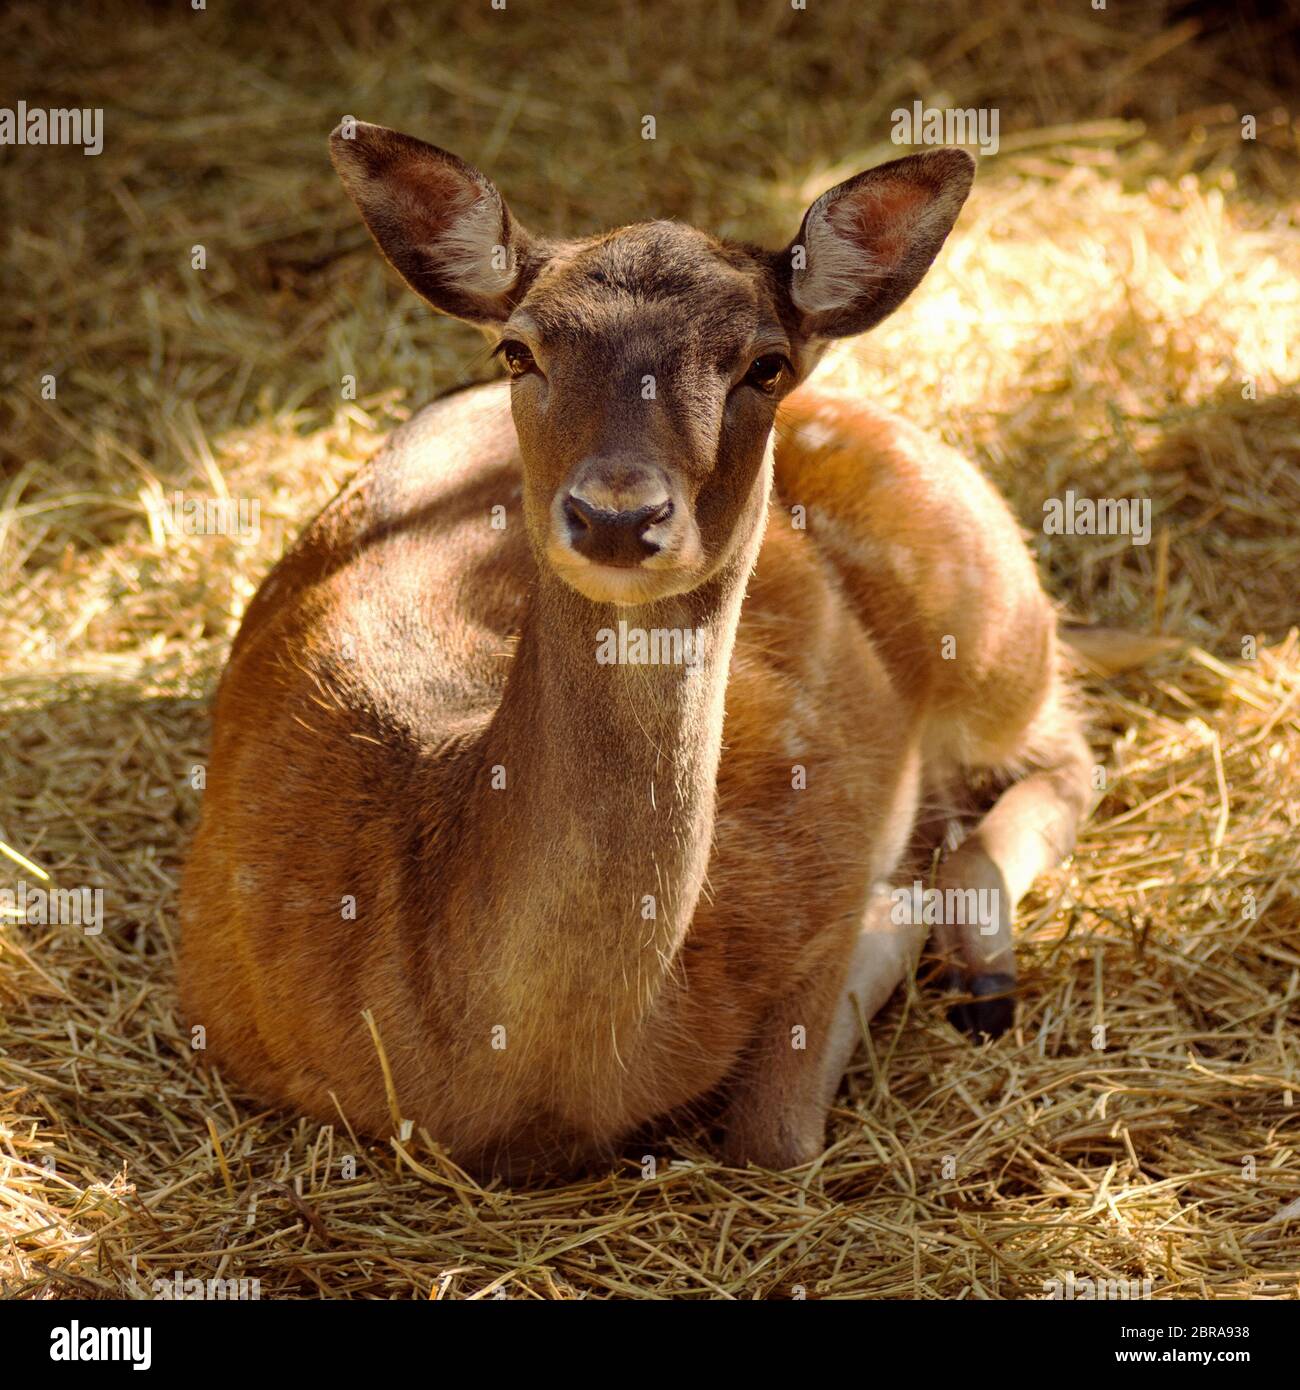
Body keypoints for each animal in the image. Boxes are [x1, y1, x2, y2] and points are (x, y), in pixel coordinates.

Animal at [178, 122, 1095, 1179]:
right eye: (519, 347)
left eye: (765, 364)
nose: (617, 514)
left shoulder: (826, 851)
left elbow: (774, 1131)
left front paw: (902, 922)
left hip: (988, 611)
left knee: (1068, 751)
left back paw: (984, 972)